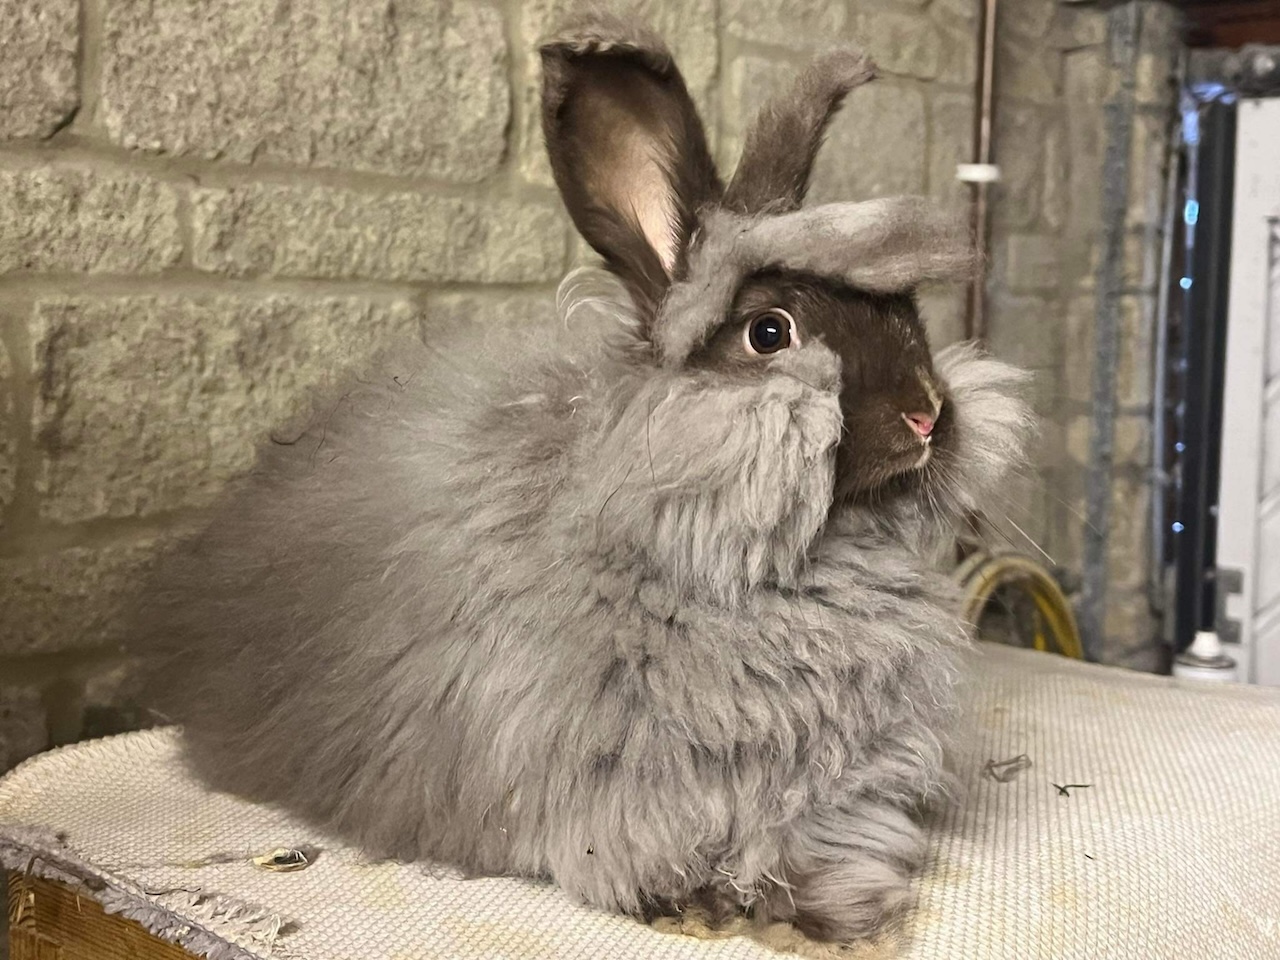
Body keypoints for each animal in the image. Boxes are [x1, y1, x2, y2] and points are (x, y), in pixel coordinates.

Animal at [134, 12, 1033, 945]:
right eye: (769, 333)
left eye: (907, 312)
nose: (928, 413)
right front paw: (711, 907)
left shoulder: (836, 786)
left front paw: (837, 908)